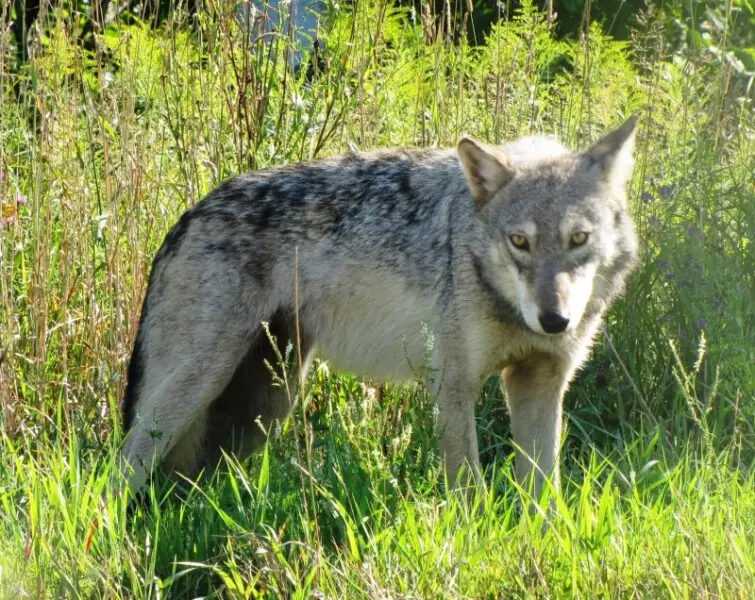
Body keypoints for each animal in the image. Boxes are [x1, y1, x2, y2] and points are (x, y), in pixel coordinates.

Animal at [121, 116, 639, 502]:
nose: (555, 321)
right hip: (197, 388)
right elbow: (468, 491)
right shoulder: (452, 386)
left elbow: (543, 493)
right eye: (519, 242)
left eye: (579, 239)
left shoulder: (541, 381)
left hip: (264, 407)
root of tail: (187, 217)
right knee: (120, 469)